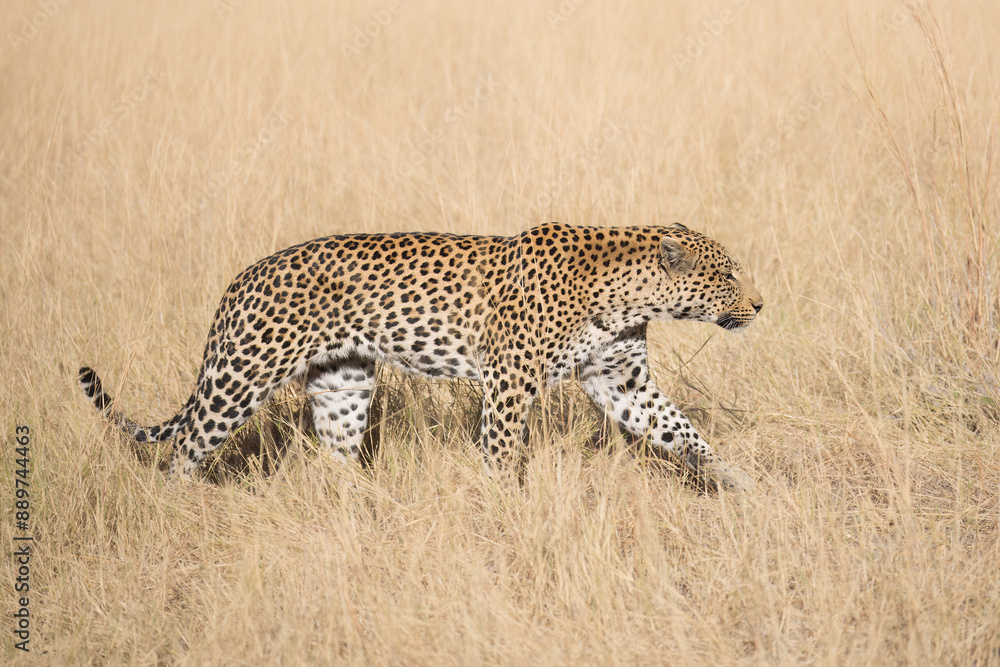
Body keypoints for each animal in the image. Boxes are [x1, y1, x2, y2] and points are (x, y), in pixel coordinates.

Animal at [78, 222, 763, 490]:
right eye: (729, 274)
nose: (761, 304)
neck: (625, 295)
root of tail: (241, 278)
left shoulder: (622, 382)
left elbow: (683, 431)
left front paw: (744, 484)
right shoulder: (509, 382)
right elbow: (502, 455)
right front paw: (504, 509)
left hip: (343, 383)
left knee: (335, 456)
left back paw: (360, 508)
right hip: (239, 376)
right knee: (185, 448)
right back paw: (174, 506)